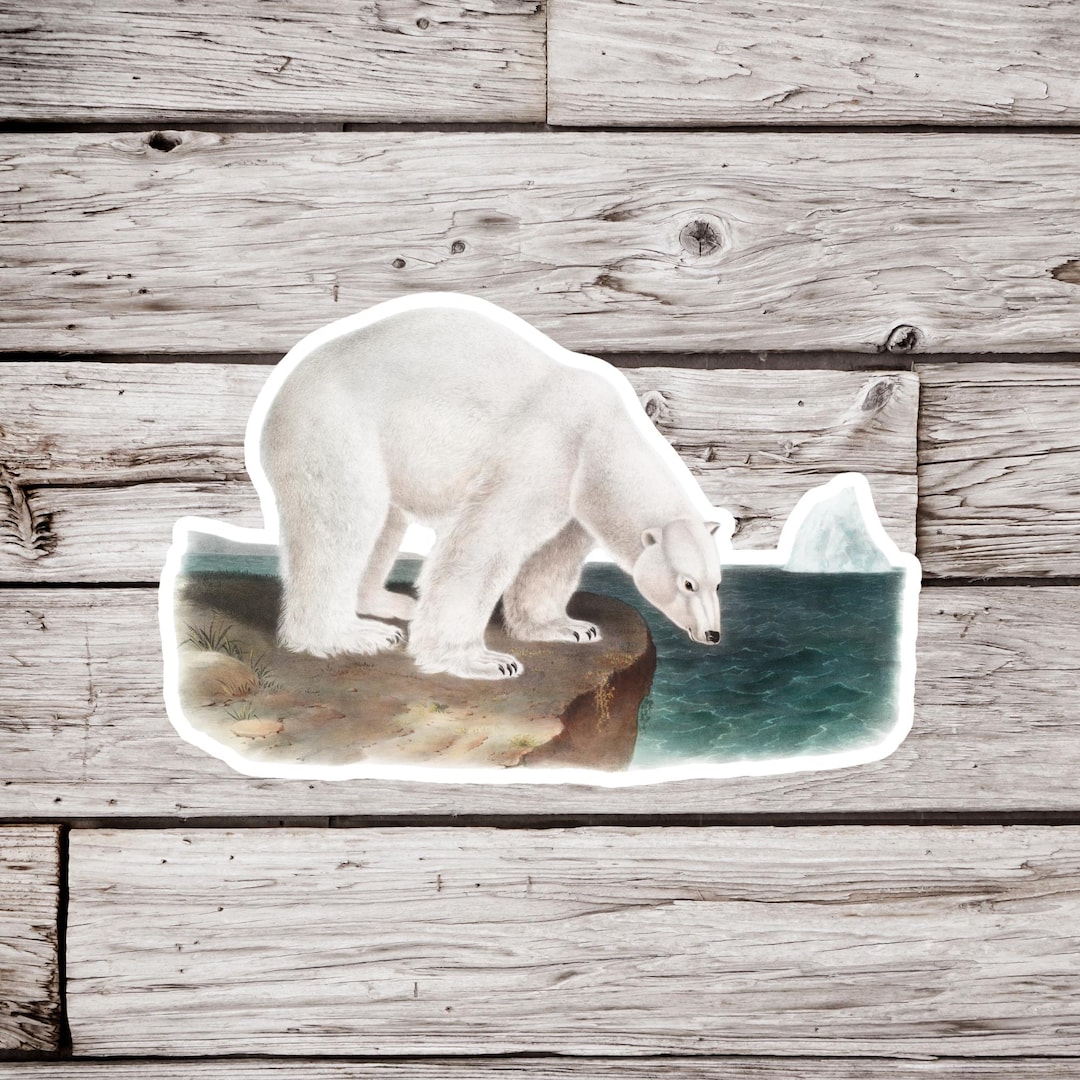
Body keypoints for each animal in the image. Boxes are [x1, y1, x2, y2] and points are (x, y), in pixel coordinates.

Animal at [253, 294, 728, 680]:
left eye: (717, 583)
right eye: (688, 584)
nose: (713, 634)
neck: (604, 438)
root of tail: (280, 389)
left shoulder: (576, 490)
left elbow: (551, 555)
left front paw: (568, 626)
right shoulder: (547, 451)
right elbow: (481, 544)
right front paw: (485, 660)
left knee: (384, 522)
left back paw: (391, 603)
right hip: (333, 426)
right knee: (344, 521)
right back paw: (355, 634)